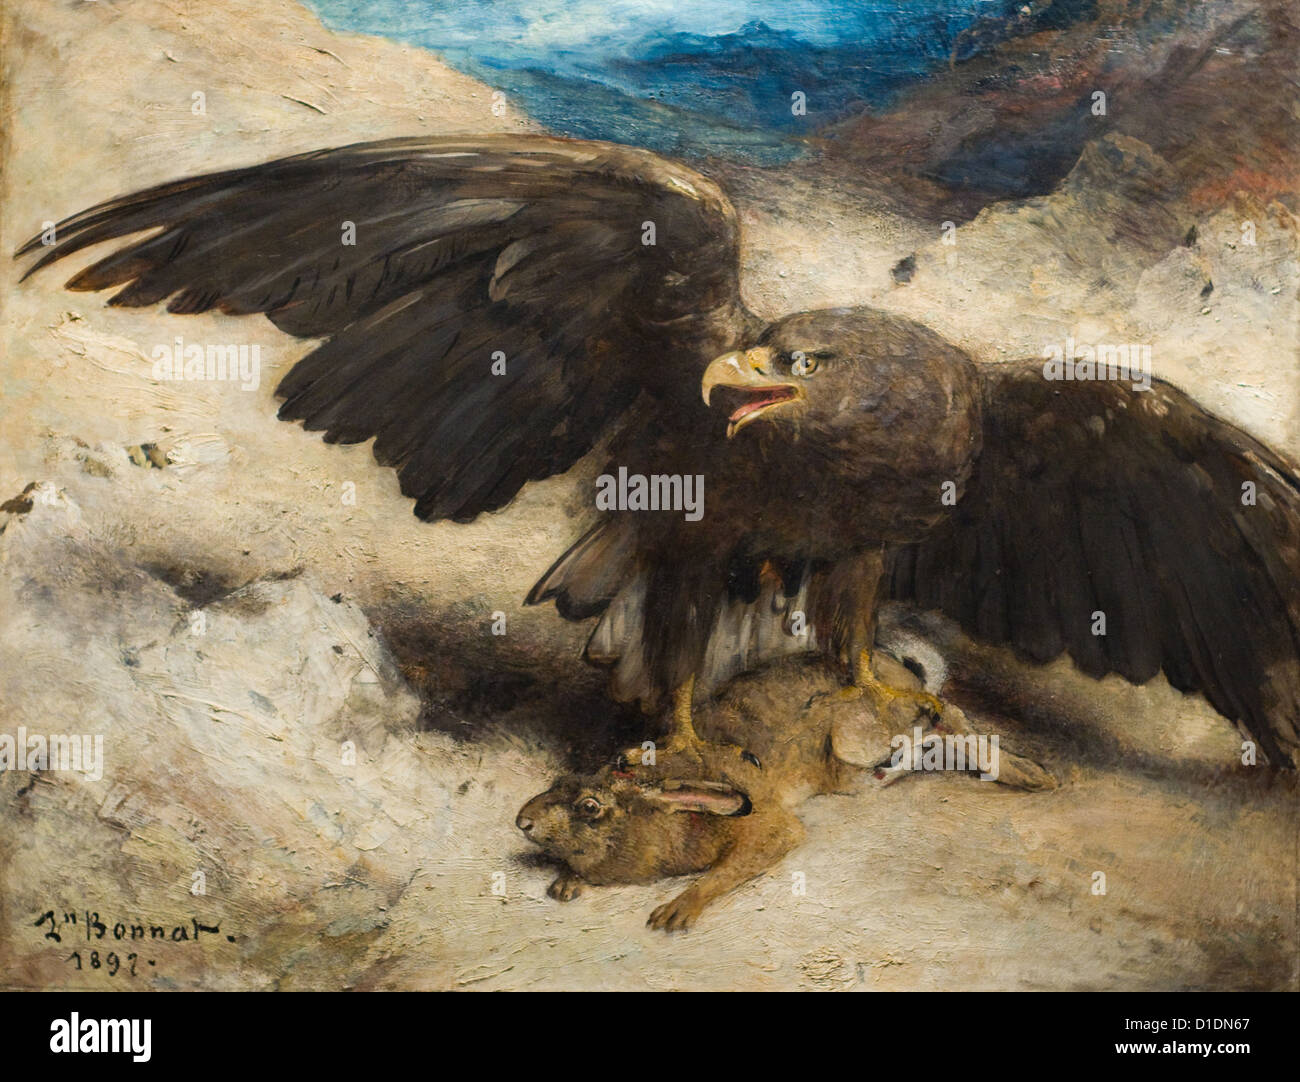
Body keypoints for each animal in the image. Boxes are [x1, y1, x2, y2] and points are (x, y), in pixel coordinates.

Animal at [516, 650, 1055, 931]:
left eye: (590, 808)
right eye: (561, 785)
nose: (522, 821)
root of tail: (893, 667)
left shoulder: (770, 829)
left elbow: (726, 872)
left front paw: (675, 912)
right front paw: (567, 882)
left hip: (858, 740)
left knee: (946, 718)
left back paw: (1034, 776)